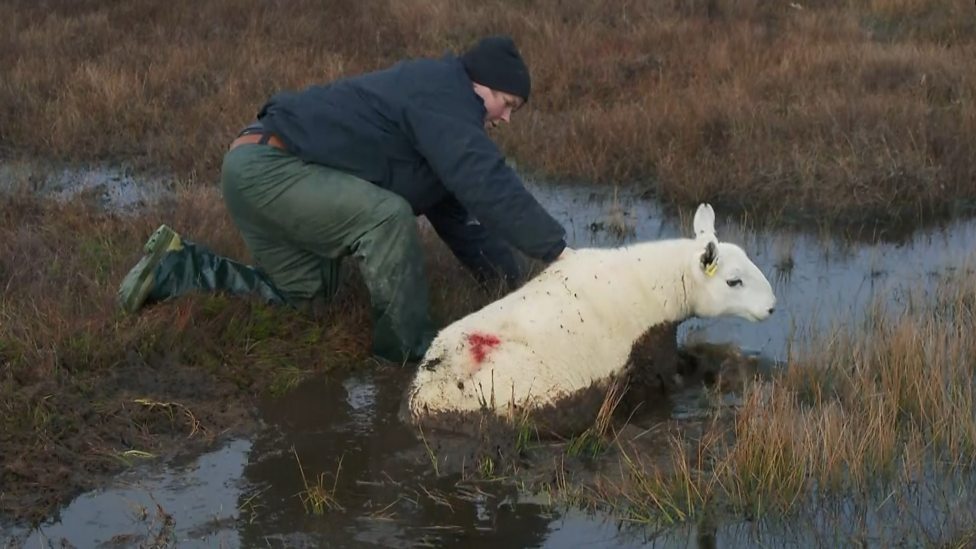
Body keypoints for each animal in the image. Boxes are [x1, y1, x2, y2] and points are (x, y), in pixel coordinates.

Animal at [401, 203, 776, 436]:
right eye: (733, 281)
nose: (772, 307)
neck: (659, 282)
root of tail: (430, 394)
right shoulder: (652, 347)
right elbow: (673, 378)